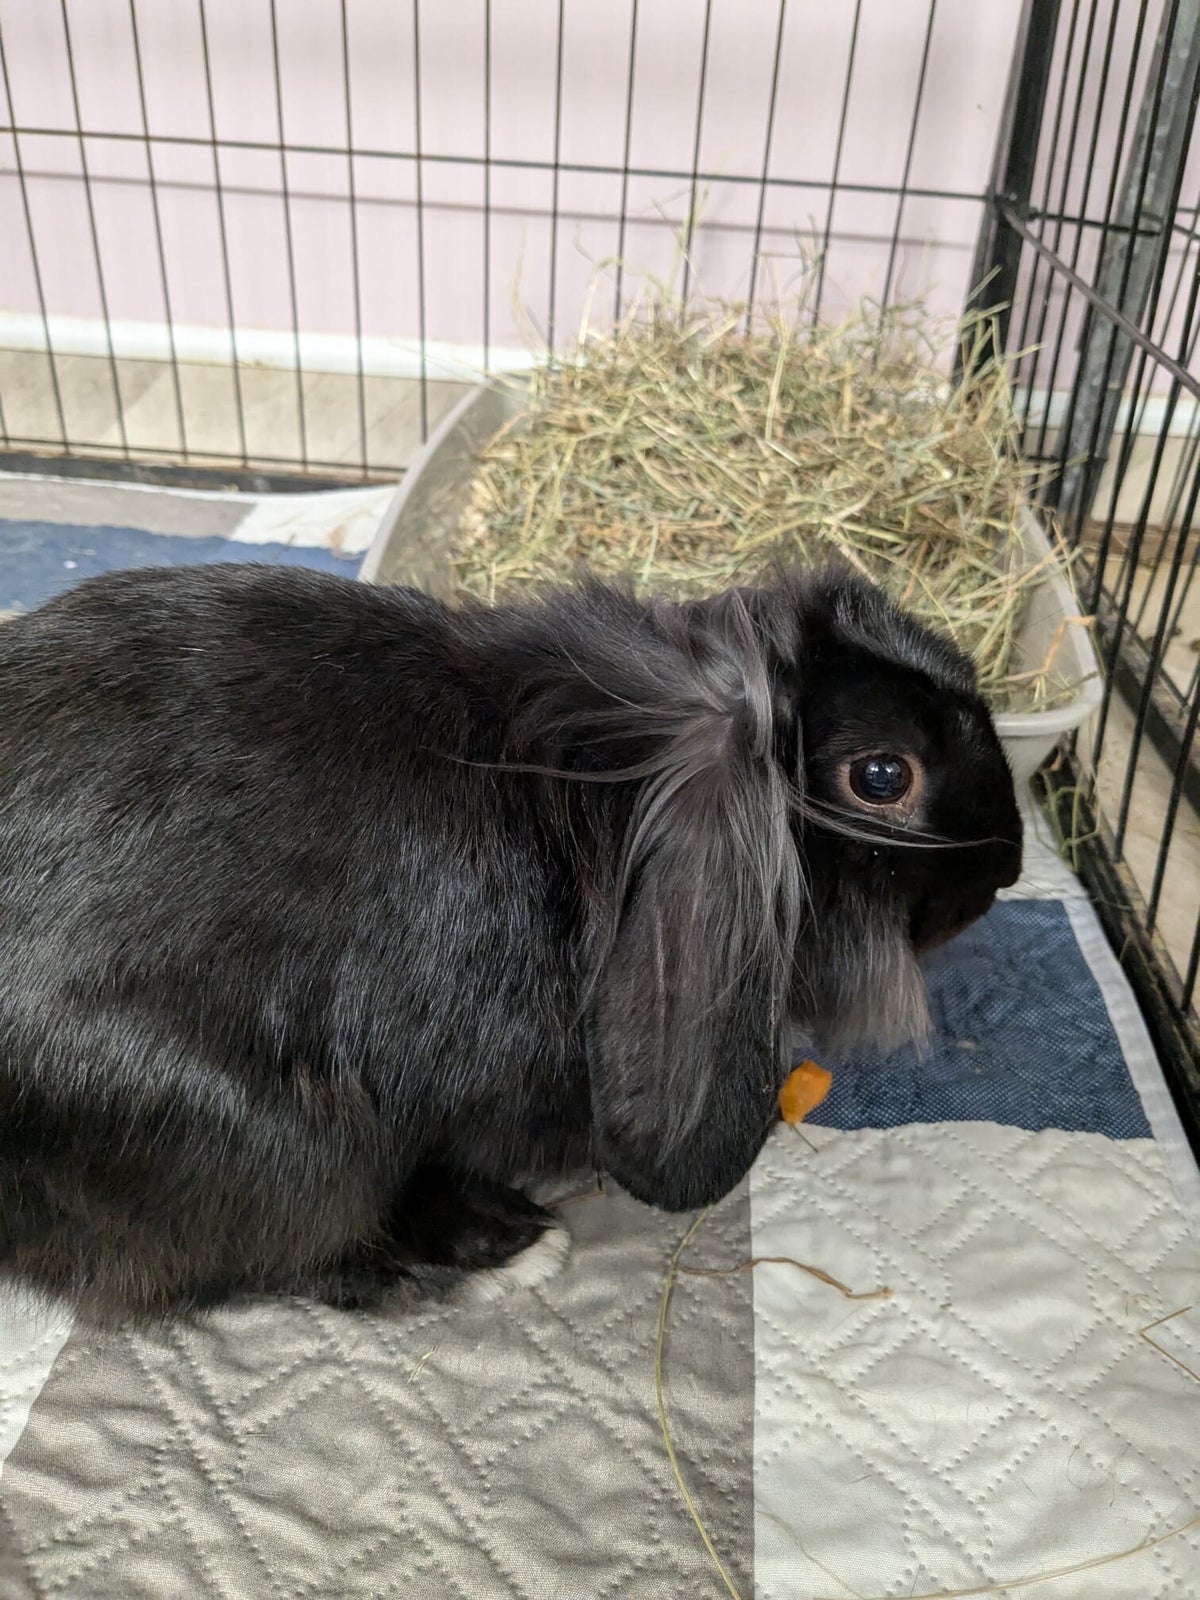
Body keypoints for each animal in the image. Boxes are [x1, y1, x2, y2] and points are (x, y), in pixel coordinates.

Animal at [0, 561, 1022, 1323]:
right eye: (883, 776)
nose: (1004, 873)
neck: (606, 802)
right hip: (278, 1145)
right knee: (267, 1262)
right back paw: (472, 1268)